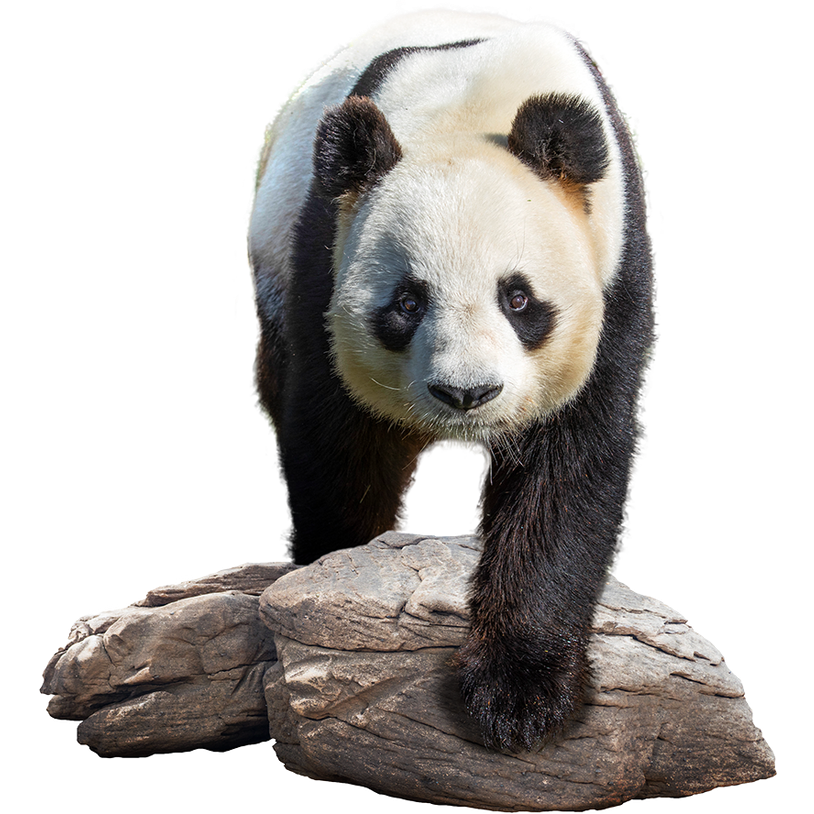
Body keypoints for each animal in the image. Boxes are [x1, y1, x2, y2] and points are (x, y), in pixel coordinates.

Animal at [247, 6, 654, 752]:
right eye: (407, 303)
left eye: (517, 298)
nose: (467, 395)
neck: (472, 108)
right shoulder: (324, 253)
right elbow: (339, 441)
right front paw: (331, 587)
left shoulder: (615, 270)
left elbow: (569, 467)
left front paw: (519, 695)